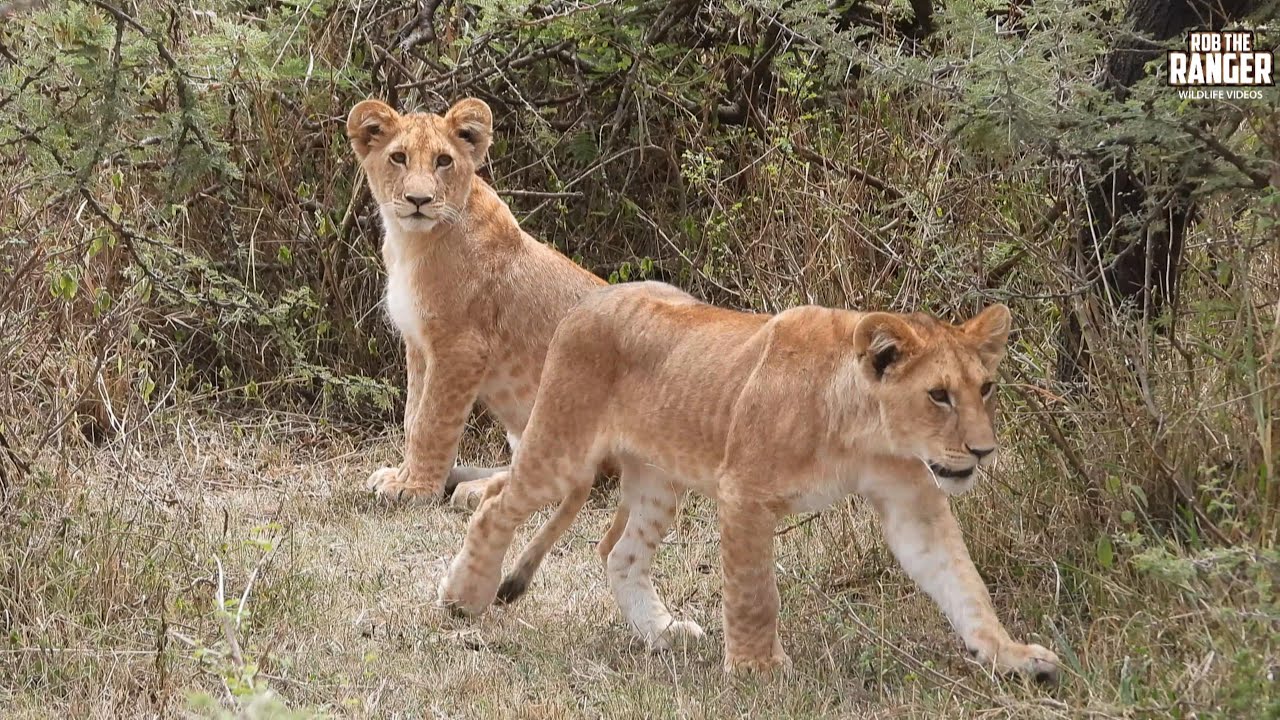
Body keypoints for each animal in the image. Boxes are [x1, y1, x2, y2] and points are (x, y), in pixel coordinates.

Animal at [347, 97, 606, 509]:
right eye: (399, 157)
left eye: (443, 161)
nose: (418, 200)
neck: (410, 244)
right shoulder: (418, 343)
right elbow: (412, 416)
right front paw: (404, 475)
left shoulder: (461, 347)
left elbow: (432, 420)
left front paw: (415, 488)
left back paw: (477, 491)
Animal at [436, 281, 1061, 683]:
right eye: (938, 395)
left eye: (985, 388)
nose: (983, 451)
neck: (865, 433)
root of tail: (593, 298)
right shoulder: (745, 493)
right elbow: (754, 592)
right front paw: (758, 670)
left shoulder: (913, 503)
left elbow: (963, 584)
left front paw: (1010, 656)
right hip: (562, 449)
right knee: (495, 504)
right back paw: (463, 598)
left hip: (660, 477)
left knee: (620, 553)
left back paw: (663, 632)